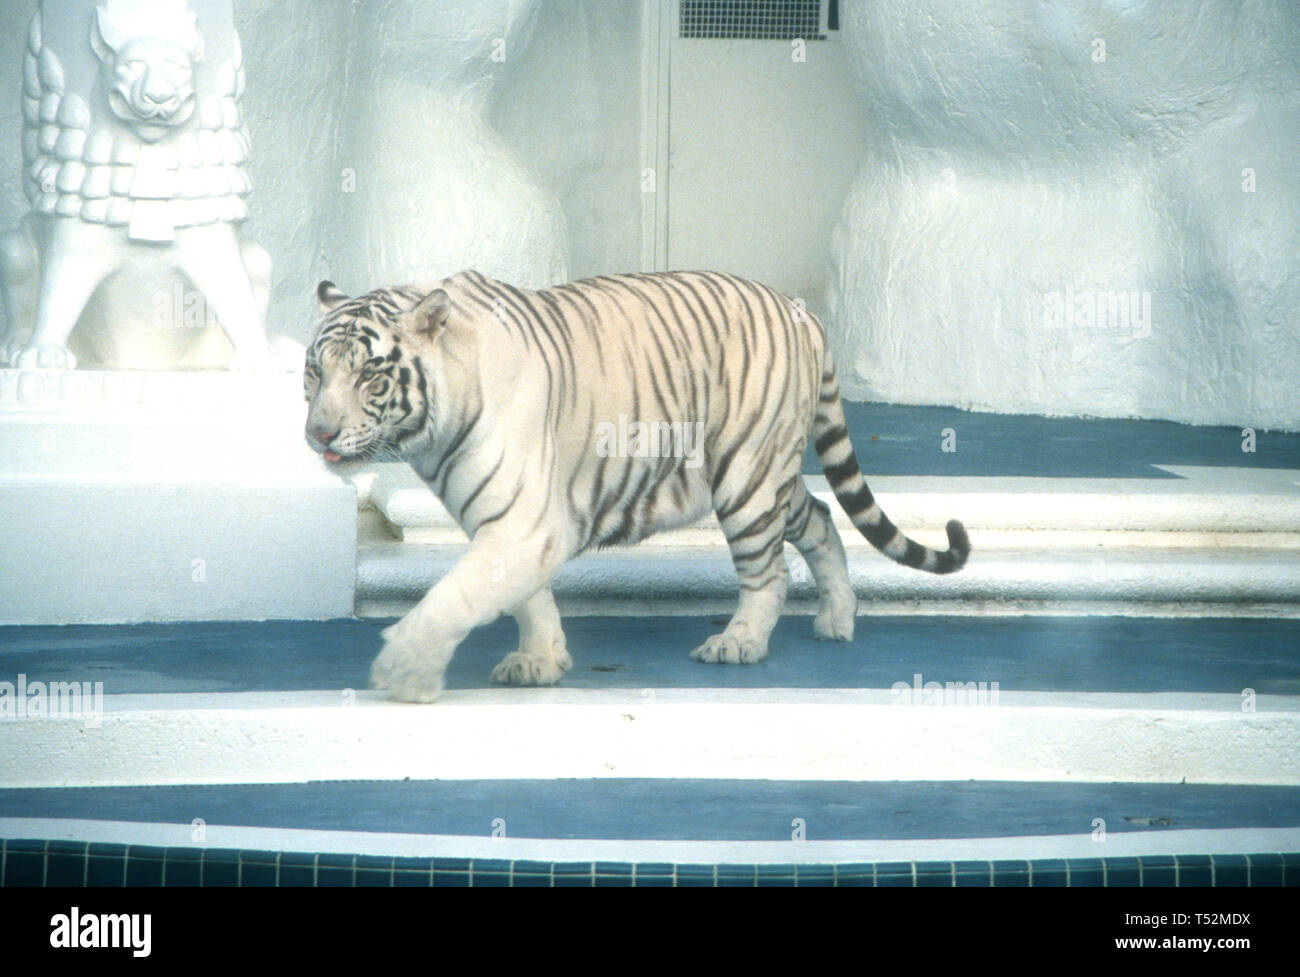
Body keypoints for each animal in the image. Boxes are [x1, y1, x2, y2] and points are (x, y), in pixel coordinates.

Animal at [304, 269, 970, 702]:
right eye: (314, 372)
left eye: (369, 376)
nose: (318, 433)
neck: (432, 431)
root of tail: (801, 310)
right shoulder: (513, 526)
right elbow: (523, 597)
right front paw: (542, 660)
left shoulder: (520, 524)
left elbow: (452, 597)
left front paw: (403, 674)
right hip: (769, 475)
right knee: (823, 516)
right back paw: (837, 618)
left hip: (747, 476)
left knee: (769, 572)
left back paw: (739, 643)